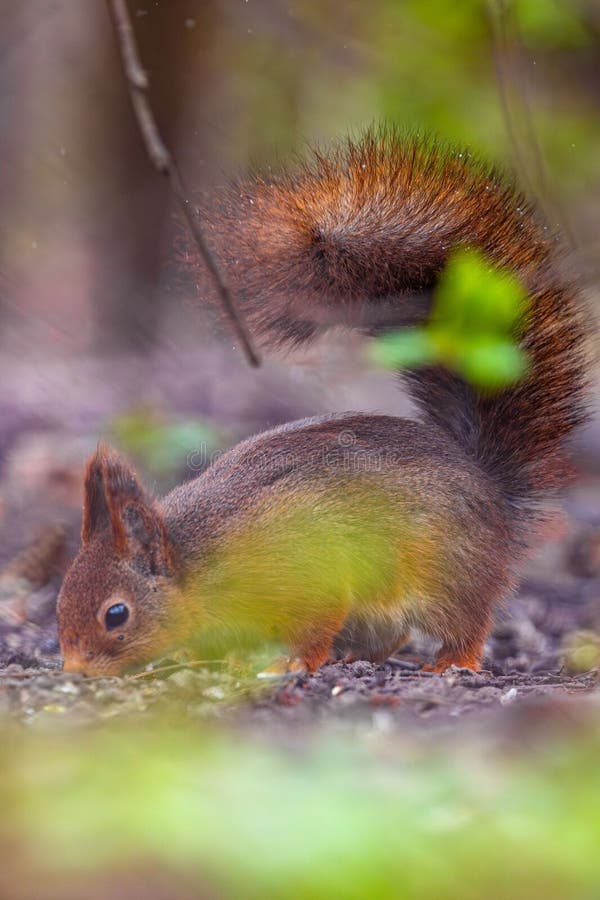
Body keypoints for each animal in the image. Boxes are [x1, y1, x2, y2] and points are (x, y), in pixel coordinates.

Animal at [57, 128, 588, 677]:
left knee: (466, 623)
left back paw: (449, 662)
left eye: (116, 614)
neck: (198, 566)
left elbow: (315, 624)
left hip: (445, 573)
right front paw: (196, 654)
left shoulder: (303, 577)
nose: (74, 671)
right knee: (391, 634)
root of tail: (491, 489)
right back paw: (356, 655)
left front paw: (292, 663)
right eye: (60, 600)